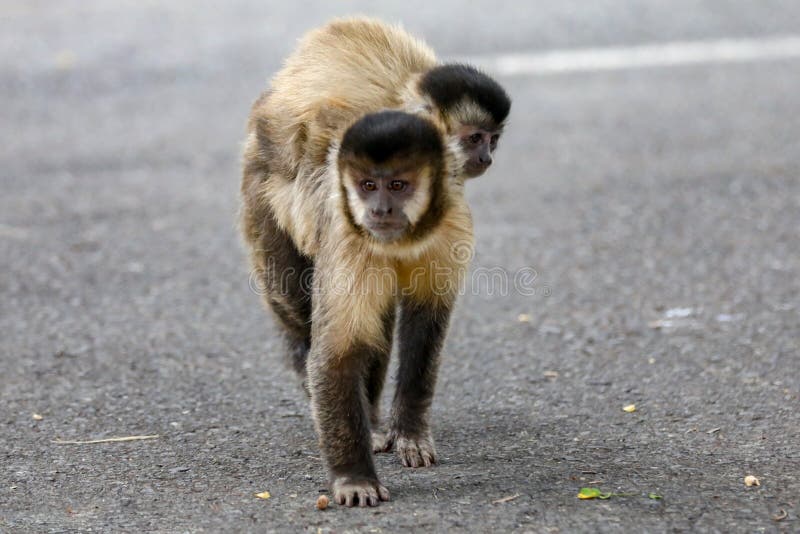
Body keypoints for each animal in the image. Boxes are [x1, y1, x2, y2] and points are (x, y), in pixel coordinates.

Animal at [239, 18, 510, 507]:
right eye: (475, 138)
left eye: (492, 140)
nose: (485, 156)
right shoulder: (347, 232)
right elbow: (337, 349)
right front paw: (354, 476)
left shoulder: (451, 222)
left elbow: (425, 320)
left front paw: (409, 432)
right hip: (259, 191)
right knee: (295, 305)